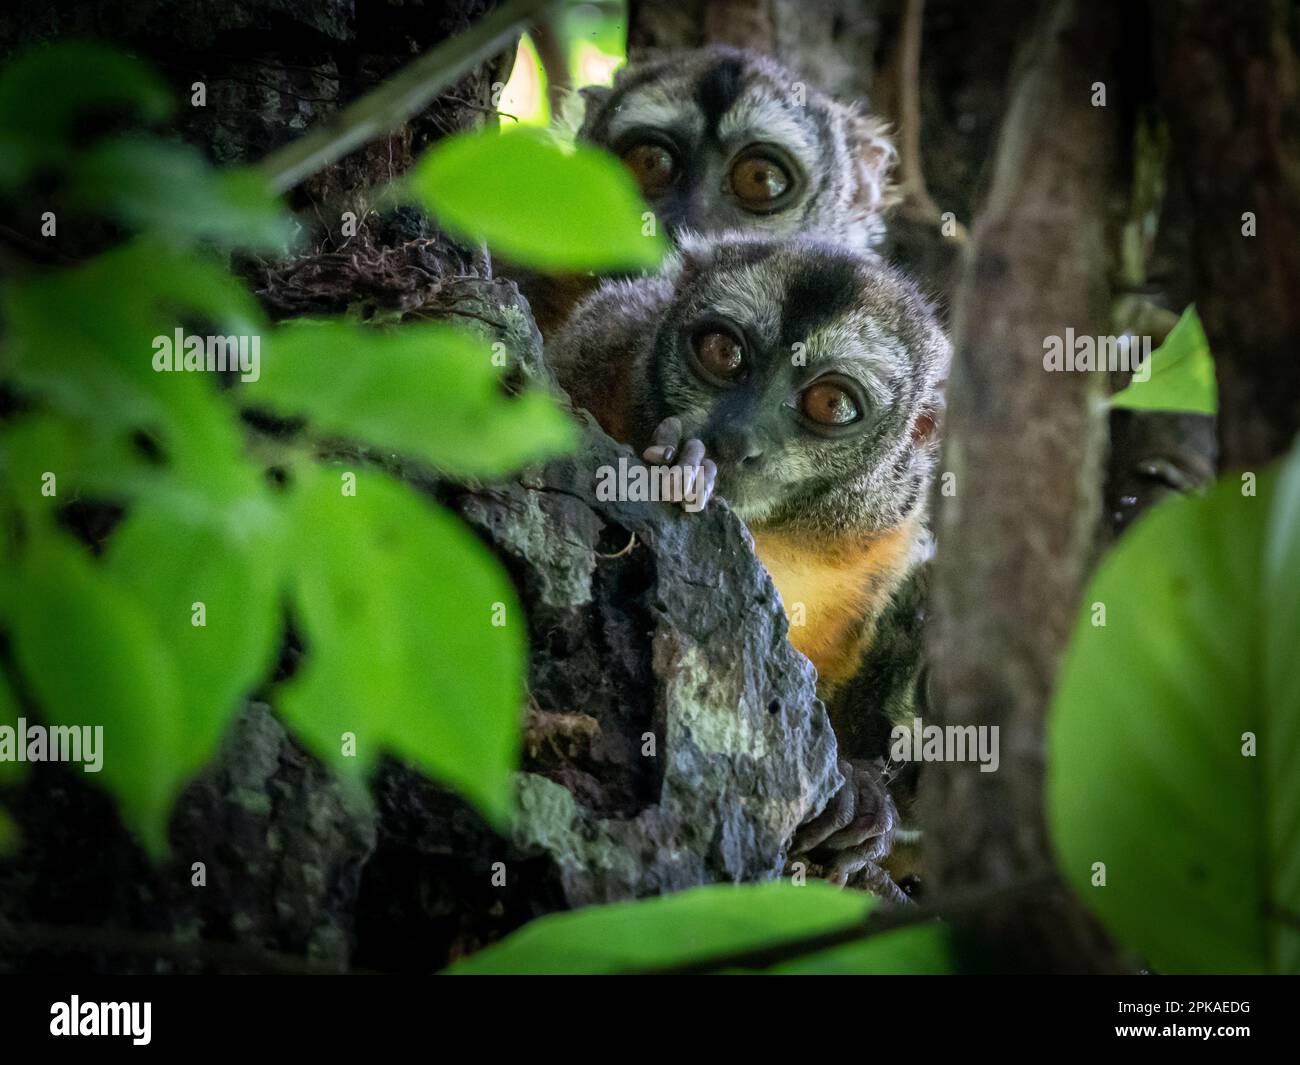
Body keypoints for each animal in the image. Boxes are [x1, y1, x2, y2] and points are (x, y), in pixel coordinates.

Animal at [547, 232, 948, 892]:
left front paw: (861, 800)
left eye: (831, 403)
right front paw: (684, 459)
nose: (736, 437)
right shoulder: (600, 343)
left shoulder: (886, 539)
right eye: (722, 352)